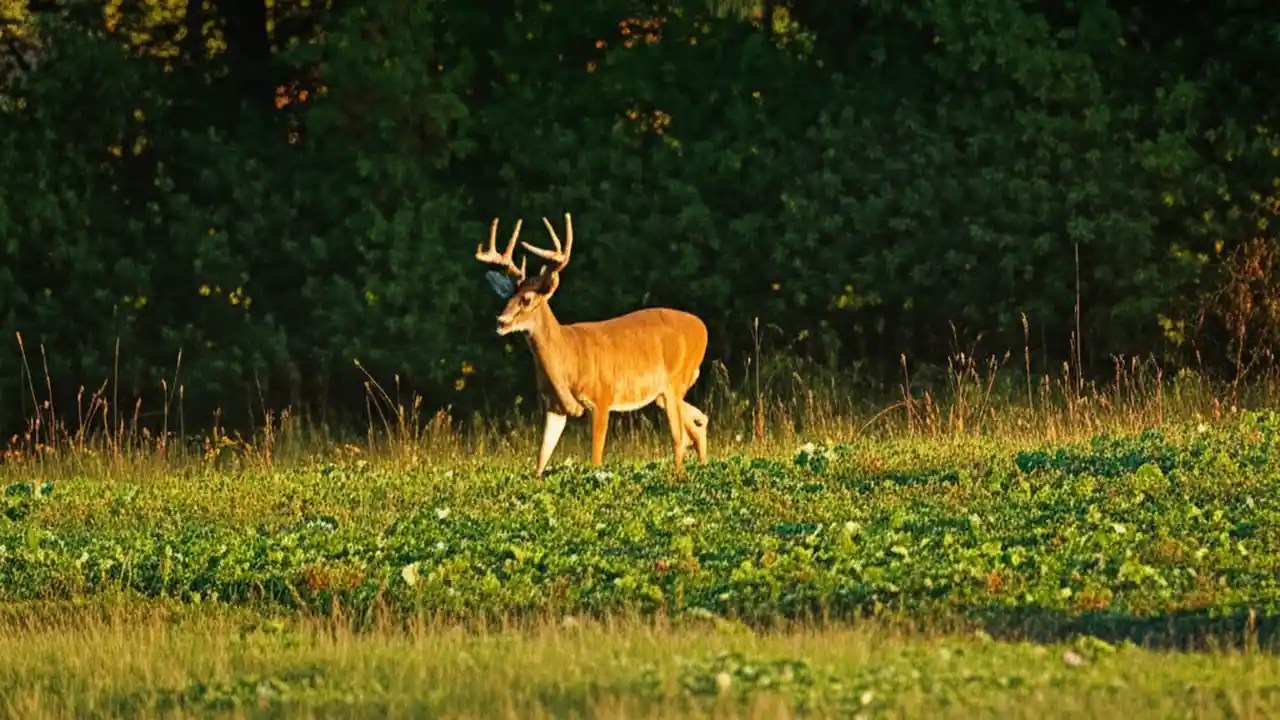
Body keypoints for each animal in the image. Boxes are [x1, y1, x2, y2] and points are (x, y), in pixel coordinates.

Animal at [475, 213, 709, 478]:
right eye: (508, 297)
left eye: (527, 298)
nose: (501, 321)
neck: (568, 358)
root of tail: (703, 328)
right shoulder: (554, 407)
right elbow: (540, 461)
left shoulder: (602, 398)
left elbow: (595, 460)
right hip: (664, 392)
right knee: (698, 423)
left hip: (674, 381)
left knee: (679, 437)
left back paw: (678, 478)